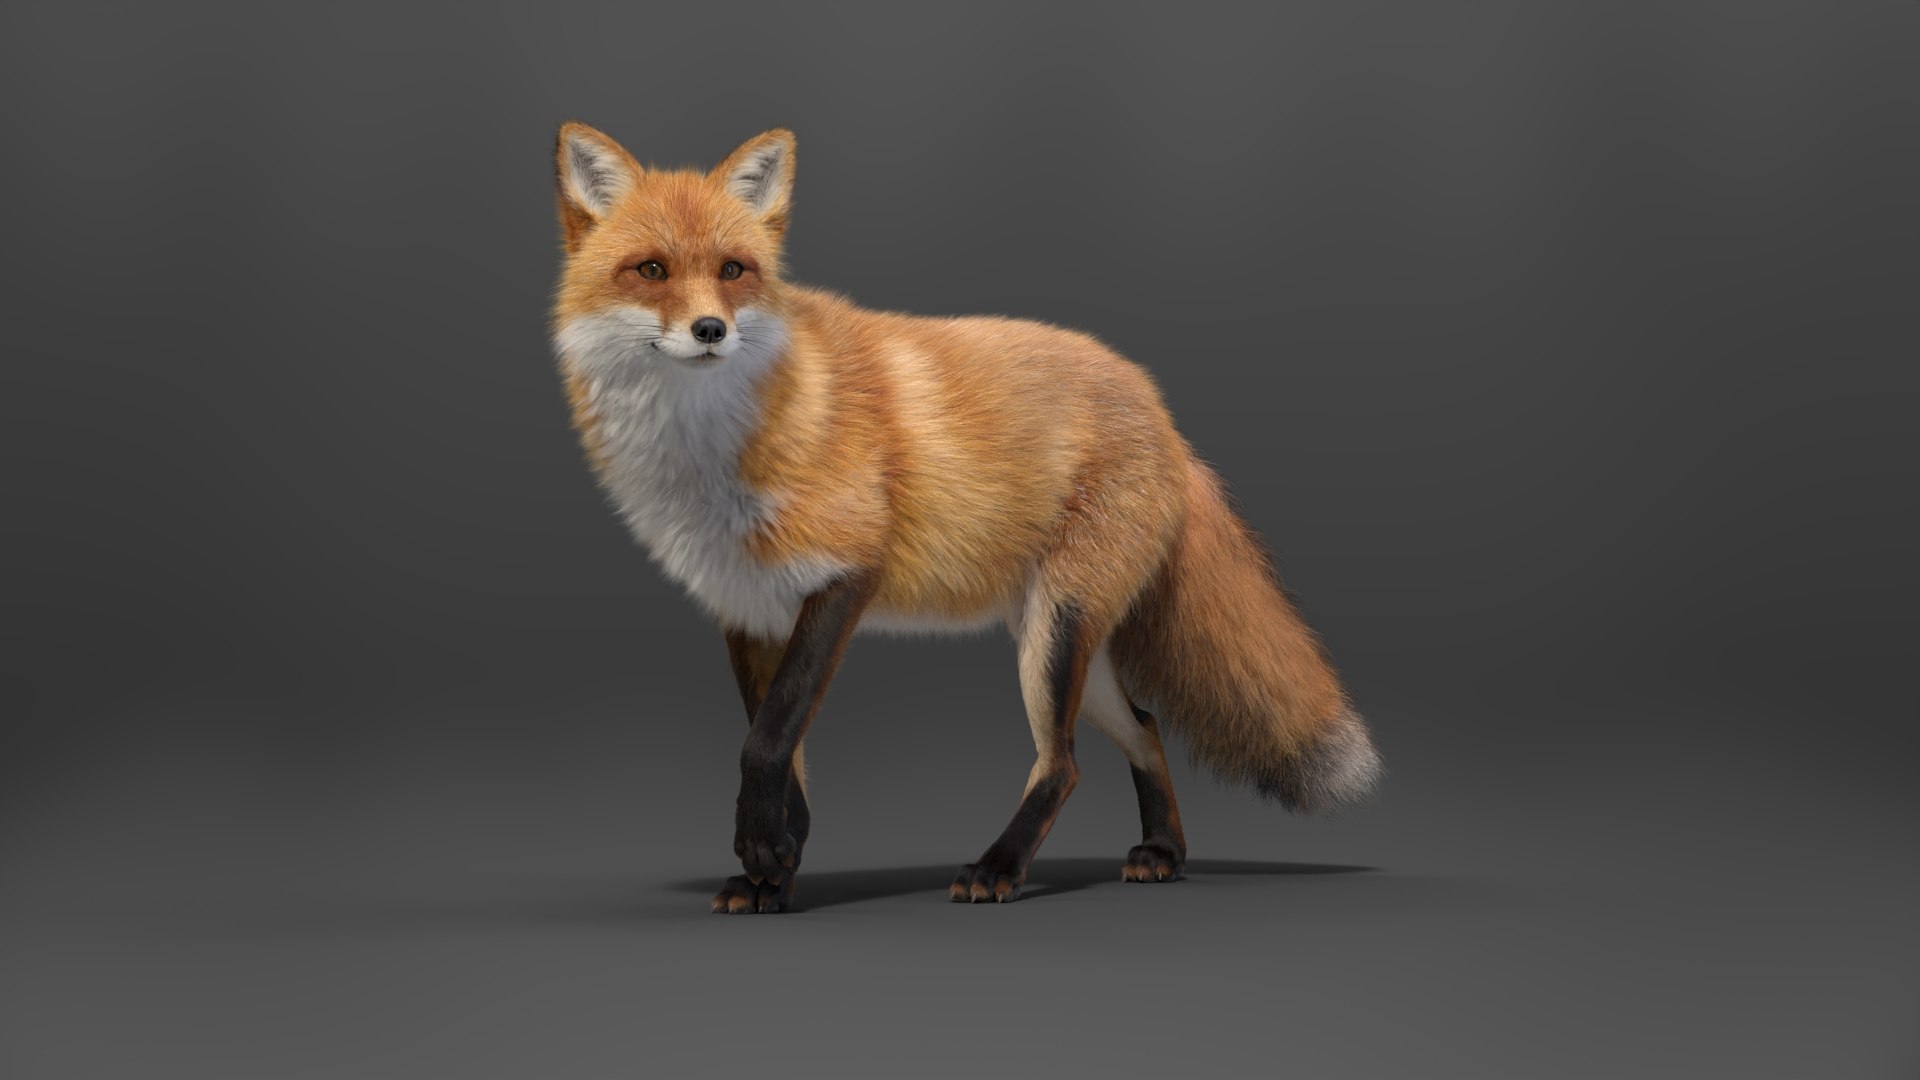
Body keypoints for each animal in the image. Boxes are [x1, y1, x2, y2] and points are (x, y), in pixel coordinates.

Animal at [548, 123, 1382, 914]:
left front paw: (763, 855)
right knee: (1144, 726)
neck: (713, 454)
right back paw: (1164, 853)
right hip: (1064, 643)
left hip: (1054, 638)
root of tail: (1161, 413)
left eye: (732, 271)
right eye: (651, 271)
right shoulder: (749, 612)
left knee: (1064, 763)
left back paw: (999, 868)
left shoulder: (844, 579)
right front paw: (772, 873)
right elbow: (786, 760)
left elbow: (767, 741)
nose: (712, 331)